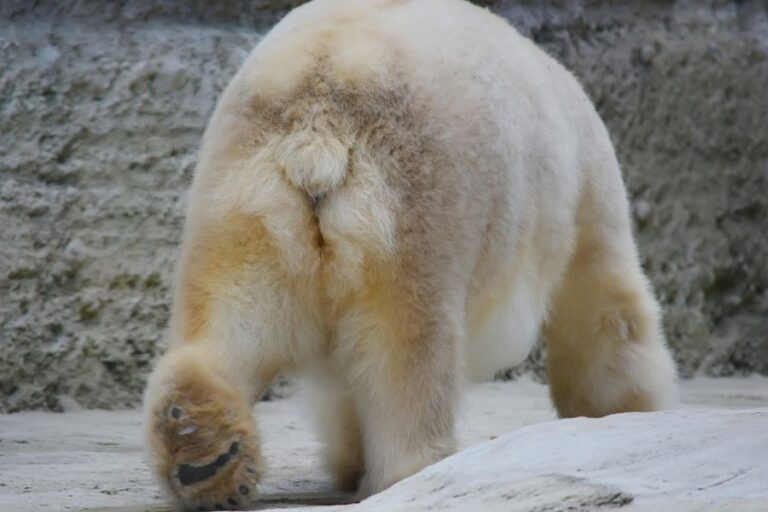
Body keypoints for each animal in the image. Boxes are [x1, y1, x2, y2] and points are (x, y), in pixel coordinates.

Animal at [143, 0, 678, 509]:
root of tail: (316, 116)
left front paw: (349, 459)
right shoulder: (582, 189)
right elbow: (602, 309)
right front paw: (623, 414)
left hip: (243, 201)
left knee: (230, 318)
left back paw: (203, 452)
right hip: (412, 204)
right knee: (406, 349)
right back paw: (416, 468)